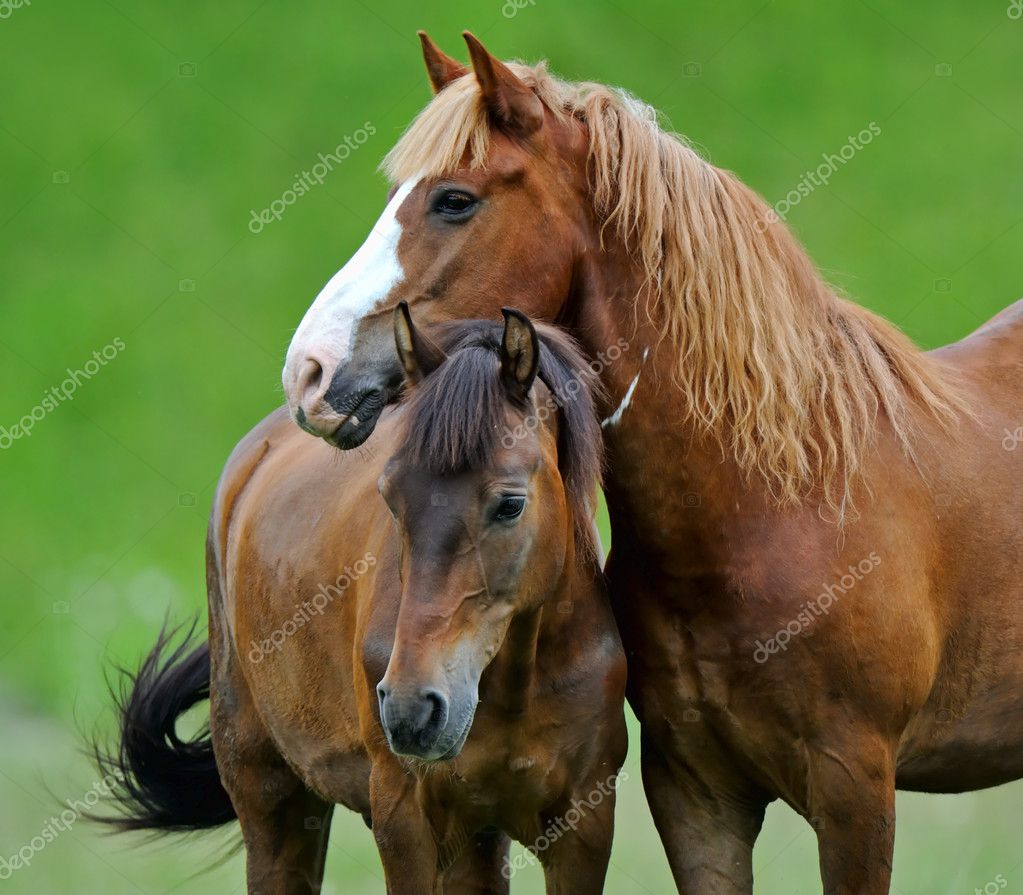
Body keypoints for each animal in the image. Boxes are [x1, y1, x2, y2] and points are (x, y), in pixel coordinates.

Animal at [97, 306, 628, 893]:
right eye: (390, 497)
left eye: (510, 504)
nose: (411, 708)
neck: (519, 681)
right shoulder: (403, 817)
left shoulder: (582, 825)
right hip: (272, 801)